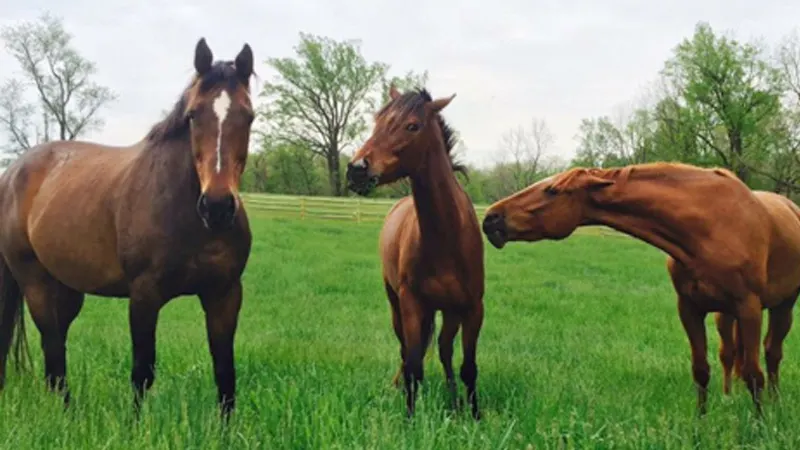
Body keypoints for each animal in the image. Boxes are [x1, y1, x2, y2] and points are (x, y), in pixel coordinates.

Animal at [0, 37, 256, 419]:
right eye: (193, 115)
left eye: (249, 116)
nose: (217, 206)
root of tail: (13, 172)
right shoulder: (144, 295)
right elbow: (142, 371)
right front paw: (137, 425)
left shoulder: (224, 294)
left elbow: (225, 373)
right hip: (34, 283)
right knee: (51, 346)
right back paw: (67, 414)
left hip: (67, 289)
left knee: (54, 346)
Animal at [345, 86, 485, 419]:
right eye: (378, 120)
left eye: (412, 126)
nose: (357, 169)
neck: (445, 238)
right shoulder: (412, 304)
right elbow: (413, 364)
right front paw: (410, 416)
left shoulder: (473, 308)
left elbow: (468, 366)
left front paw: (474, 414)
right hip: (396, 304)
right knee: (408, 352)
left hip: (449, 311)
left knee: (445, 351)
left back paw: (454, 402)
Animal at [481, 162, 800, 417]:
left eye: (552, 191)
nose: (490, 218)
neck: (710, 226)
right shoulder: (689, 308)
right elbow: (701, 369)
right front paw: (702, 421)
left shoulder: (749, 308)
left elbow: (754, 374)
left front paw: (759, 425)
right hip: (726, 315)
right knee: (729, 353)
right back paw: (729, 397)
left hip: (781, 307)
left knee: (772, 353)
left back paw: (775, 404)